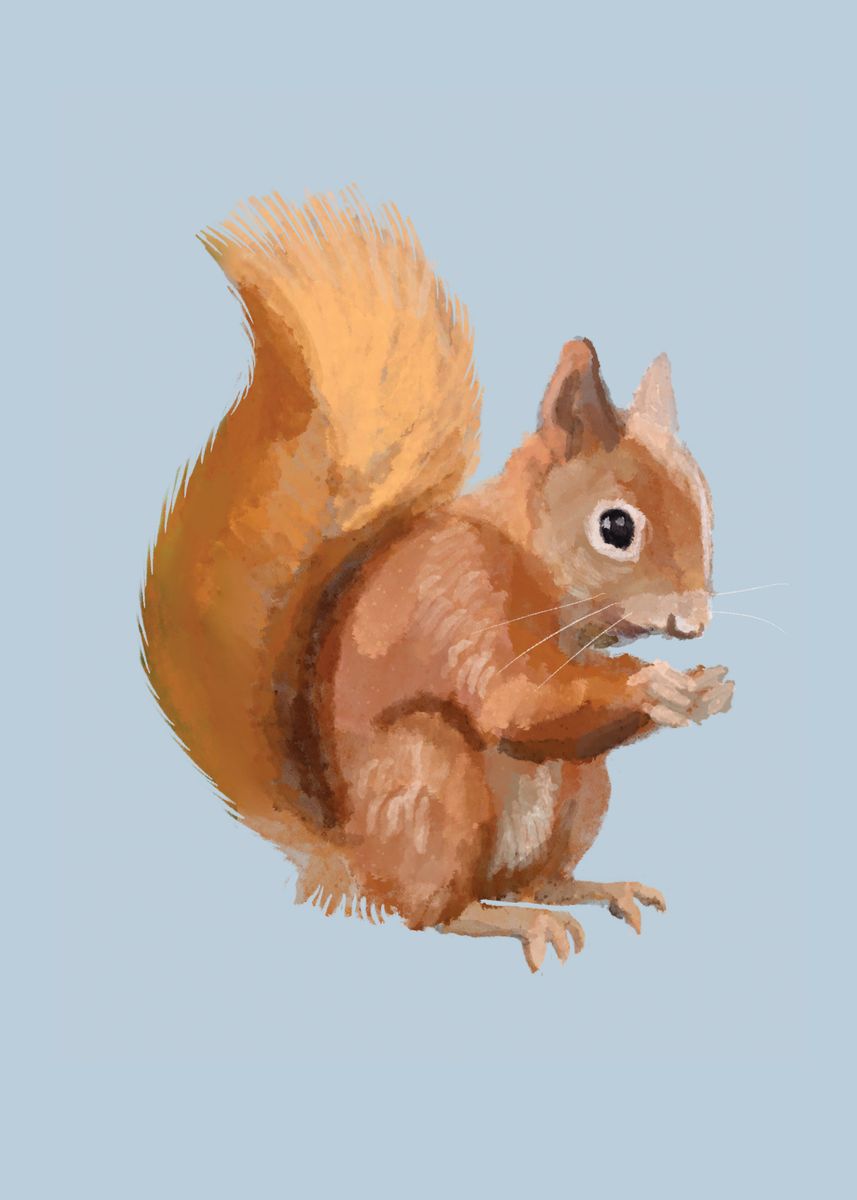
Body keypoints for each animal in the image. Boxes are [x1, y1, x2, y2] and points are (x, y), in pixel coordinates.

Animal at [140, 189, 734, 972]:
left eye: (705, 507)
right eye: (615, 527)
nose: (693, 623)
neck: (527, 557)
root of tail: (357, 857)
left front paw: (707, 691)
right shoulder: (465, 595)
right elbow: (515, 703)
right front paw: (655, 684)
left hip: (583, 789)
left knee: (537, 876)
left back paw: (592, 889)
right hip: (434, 781)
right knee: (433, 913)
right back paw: (509, 921)